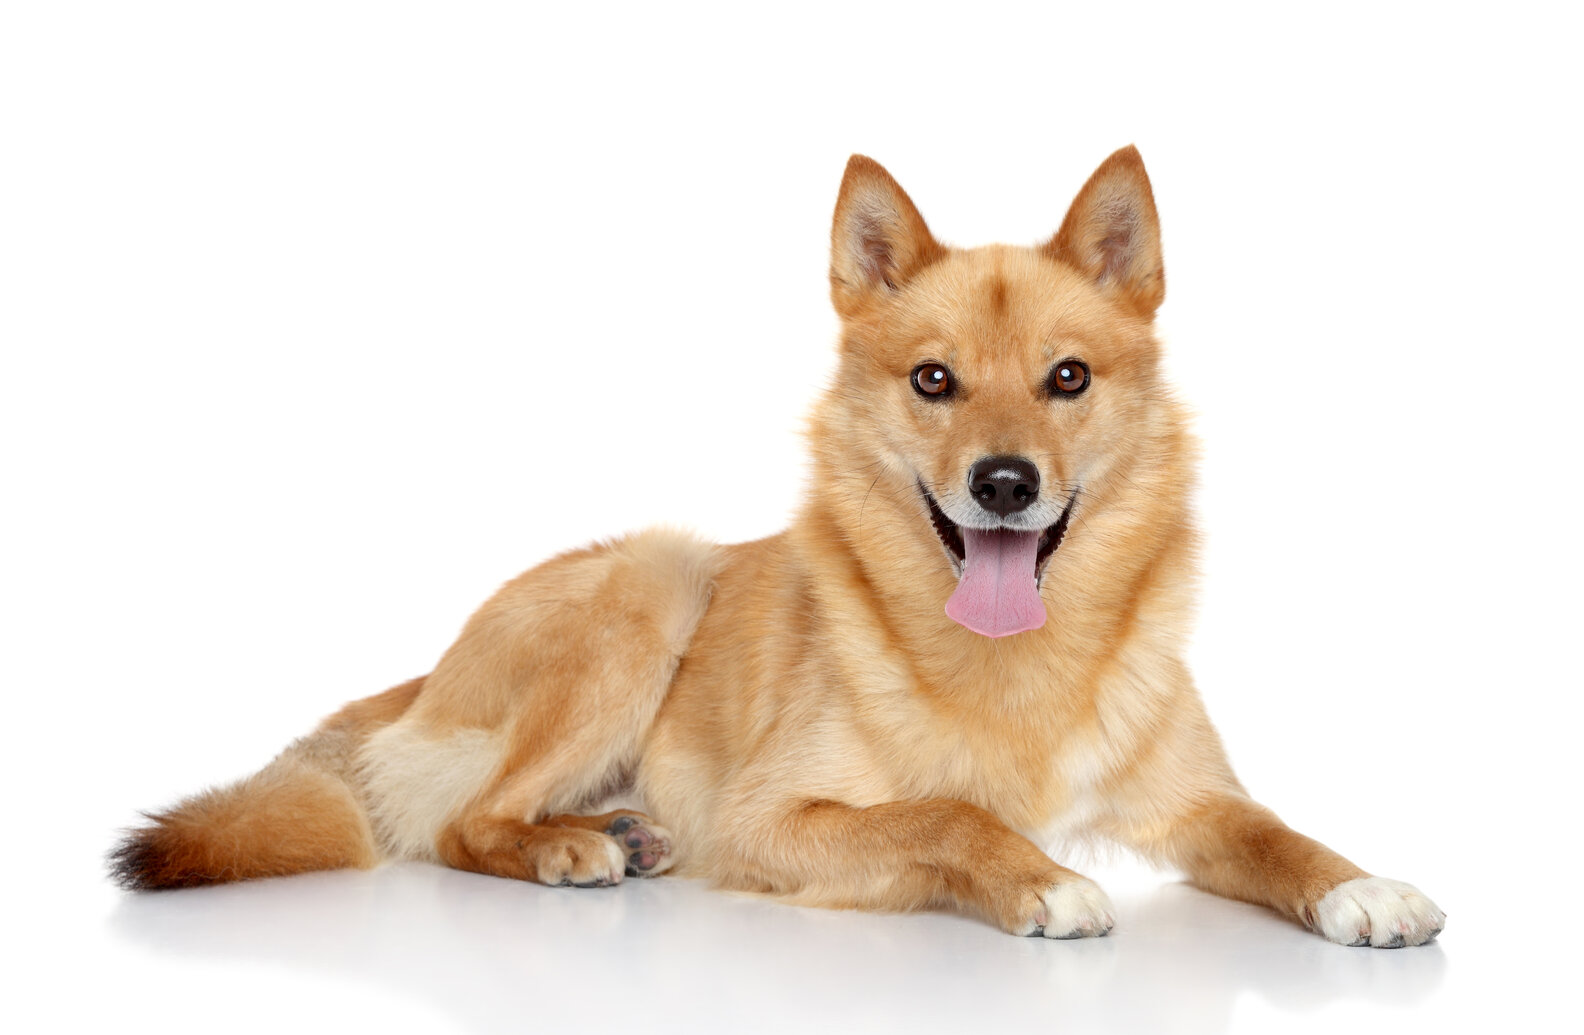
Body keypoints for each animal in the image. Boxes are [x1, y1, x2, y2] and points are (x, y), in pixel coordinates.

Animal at [111, 147, 1444, 946]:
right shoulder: (767, 820)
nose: (1004, 485)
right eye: (934, 380)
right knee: (461, 825)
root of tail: (421, 678)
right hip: (655, 580)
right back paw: (570, 848)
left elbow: (1275, 832)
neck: (1017, 667)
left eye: (1068, 378)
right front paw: (1037, 875)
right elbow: (942, 818)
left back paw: (616, 830)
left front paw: (1358, 884)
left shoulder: (1198, 800)